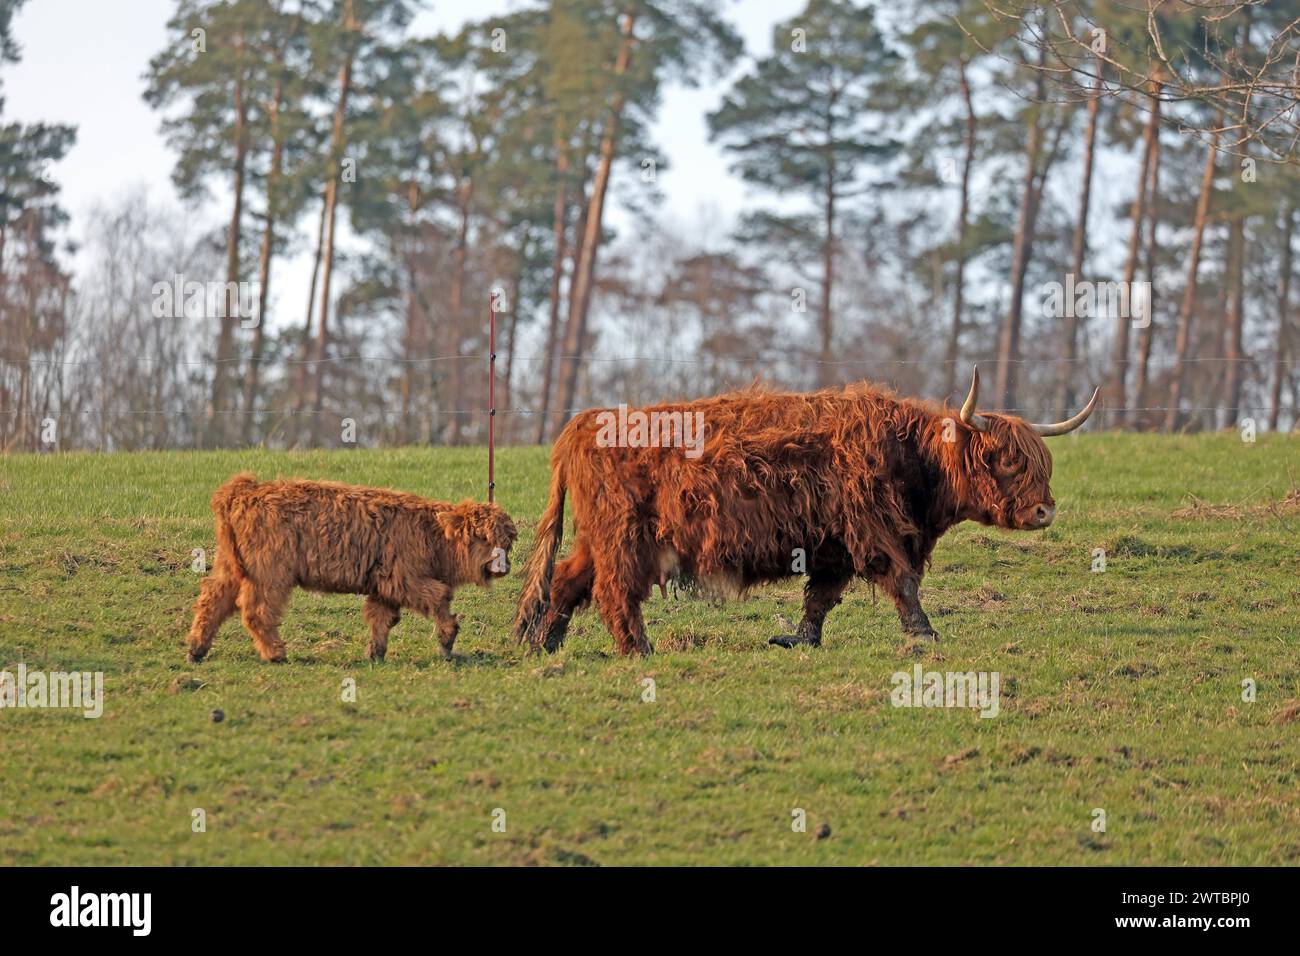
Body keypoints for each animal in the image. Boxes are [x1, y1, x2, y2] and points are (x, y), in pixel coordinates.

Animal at [513, 367, 1098, 656]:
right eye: (1006, 460)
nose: (1044, 511)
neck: (913, 455)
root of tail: (582, 423)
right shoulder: (873, 531)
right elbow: (903, 583)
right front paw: (924, 635)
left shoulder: (833, 544)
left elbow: (820, 598)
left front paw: (799, 639)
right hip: (624, 536)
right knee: (612, 591)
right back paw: (638, 649)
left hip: (597, 537)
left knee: (565, 580)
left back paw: (545, 644)